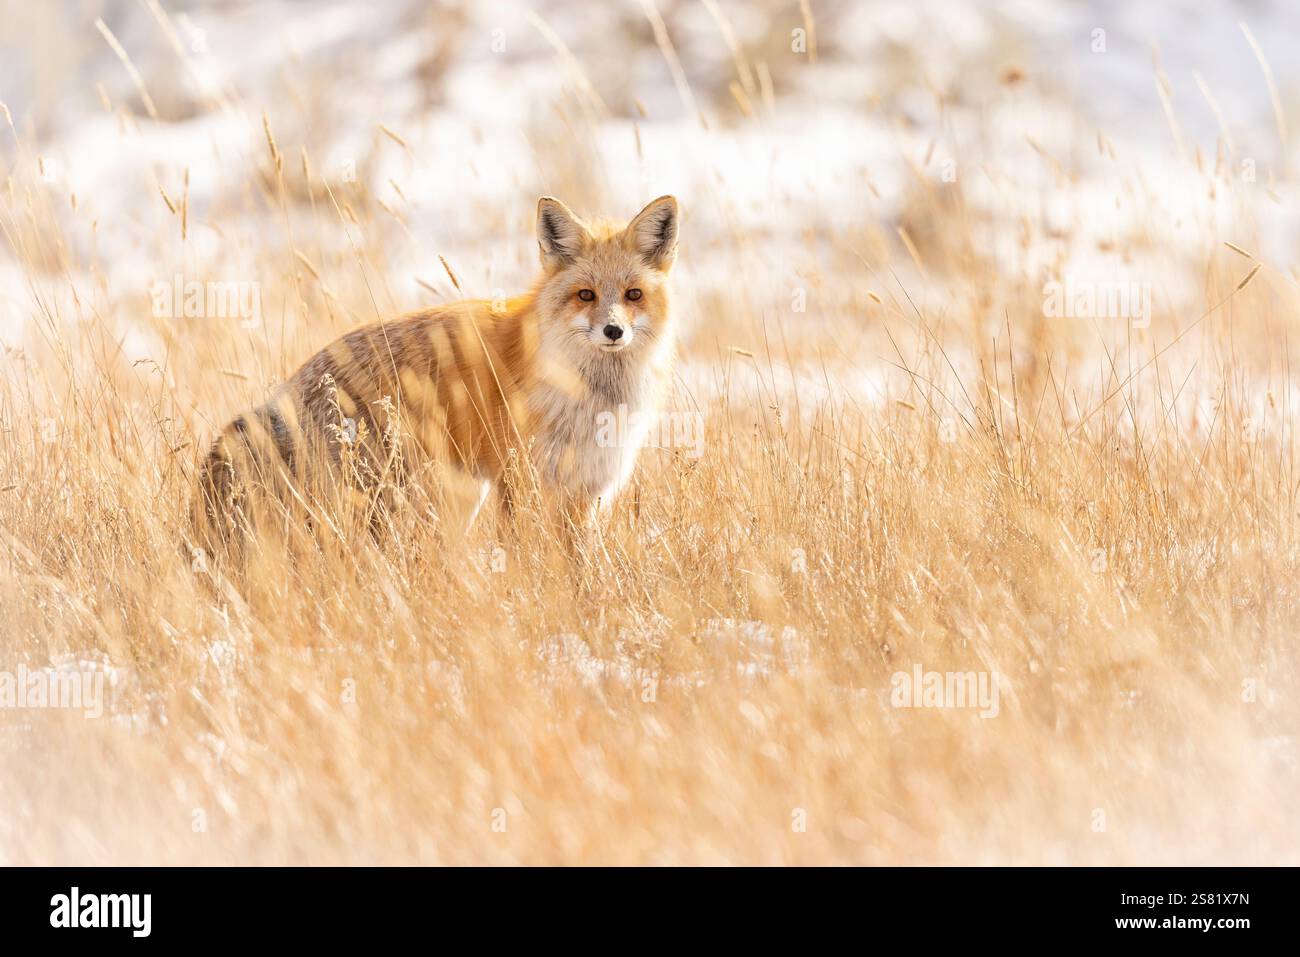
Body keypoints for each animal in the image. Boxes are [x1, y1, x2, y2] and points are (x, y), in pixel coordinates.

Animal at [194, 194, 680, 559]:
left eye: (633, 294)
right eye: (586, 295)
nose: (613, 331)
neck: (592, 396)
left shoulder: (585, 492)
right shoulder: (518, 480)